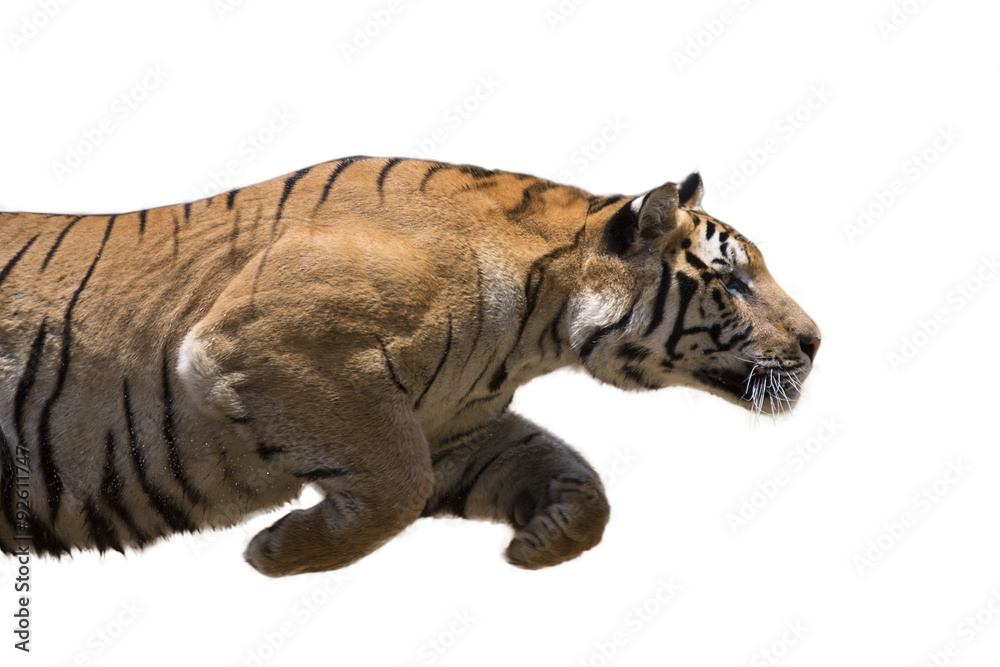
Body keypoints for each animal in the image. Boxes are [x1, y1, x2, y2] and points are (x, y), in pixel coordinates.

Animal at [0, 156, 820, 576]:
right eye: (732, 280)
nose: (817, 342)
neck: (535, 331)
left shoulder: (454, 427)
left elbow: (580, 482)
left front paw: (540, 543)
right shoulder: (258, 348)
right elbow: (398, 485)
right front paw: (276, 551)